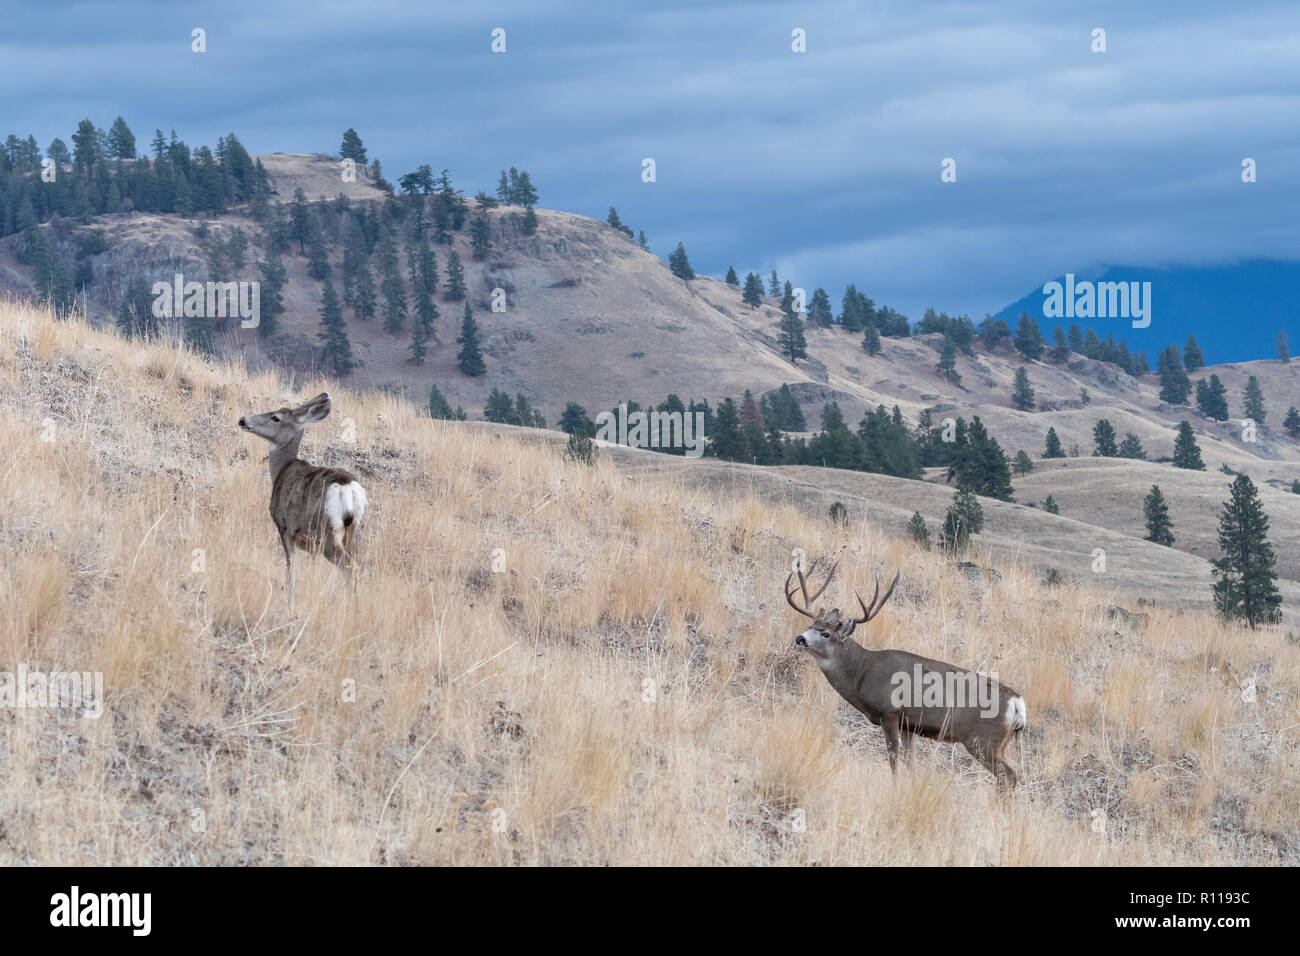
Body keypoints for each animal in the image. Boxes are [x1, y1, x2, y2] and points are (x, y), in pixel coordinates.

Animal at [238, 392, 367, 614]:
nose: (243, 420)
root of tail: (348, 488)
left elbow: (291, 570)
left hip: (327, 531)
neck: (281, 470)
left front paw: (290, 607)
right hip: (351, 532)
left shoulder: (284, 527)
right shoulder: (311, 546)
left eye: (276, 417)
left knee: (350, 567)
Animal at [786, 561, 1026, 790]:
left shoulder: (890, 712)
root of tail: (1017, 702)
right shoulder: (908, 724)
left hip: (983, 739)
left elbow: (893, 756)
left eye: (826, 634)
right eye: (811, 625)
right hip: (1000, 742)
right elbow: (910, 762)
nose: (800, 638)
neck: (861, 672)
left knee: (1009, 775)